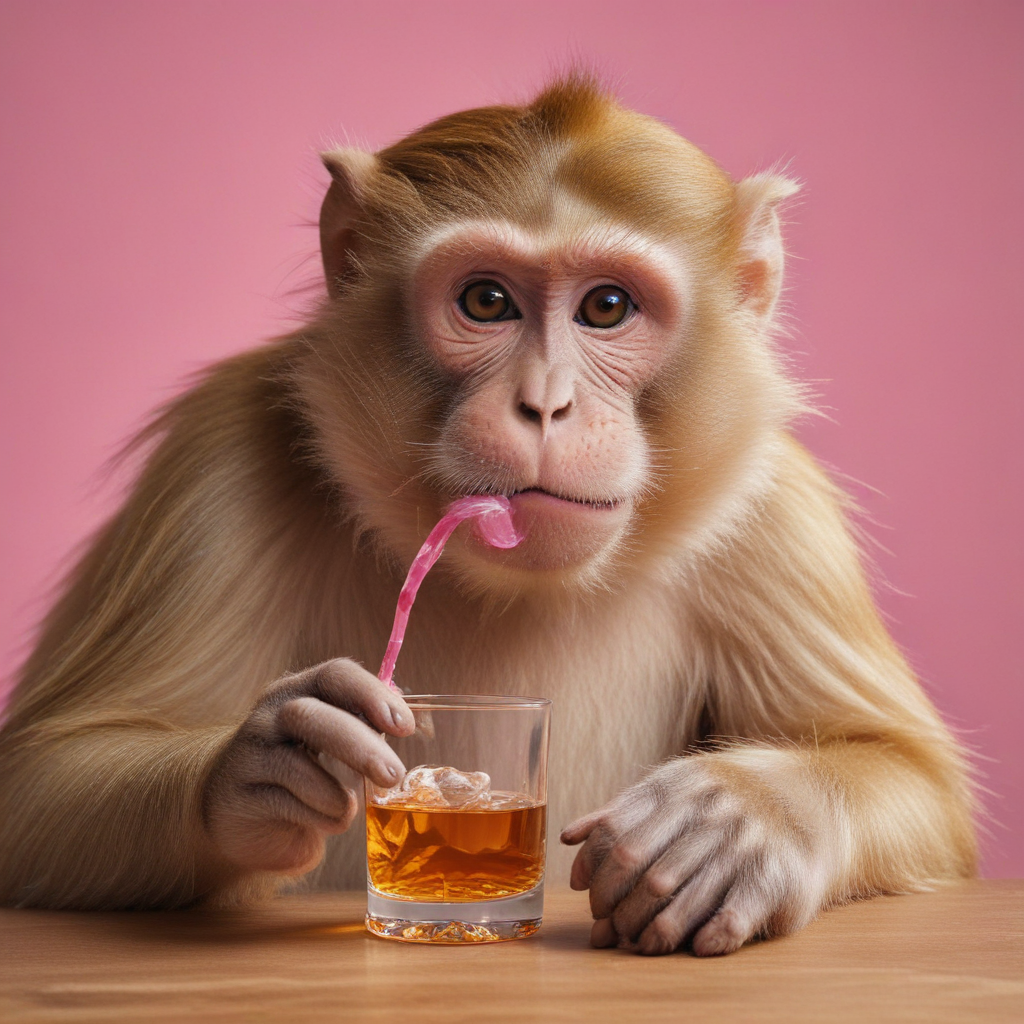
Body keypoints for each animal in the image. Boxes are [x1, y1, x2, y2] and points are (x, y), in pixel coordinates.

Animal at [0, 76, 976, 956]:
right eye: (486, 302)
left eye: (607, 307)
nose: (544, 404)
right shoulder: (213, 462)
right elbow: (40, 778)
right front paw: (269, 764)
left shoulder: (778, 517)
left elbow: (910, 773)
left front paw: (739, 821)